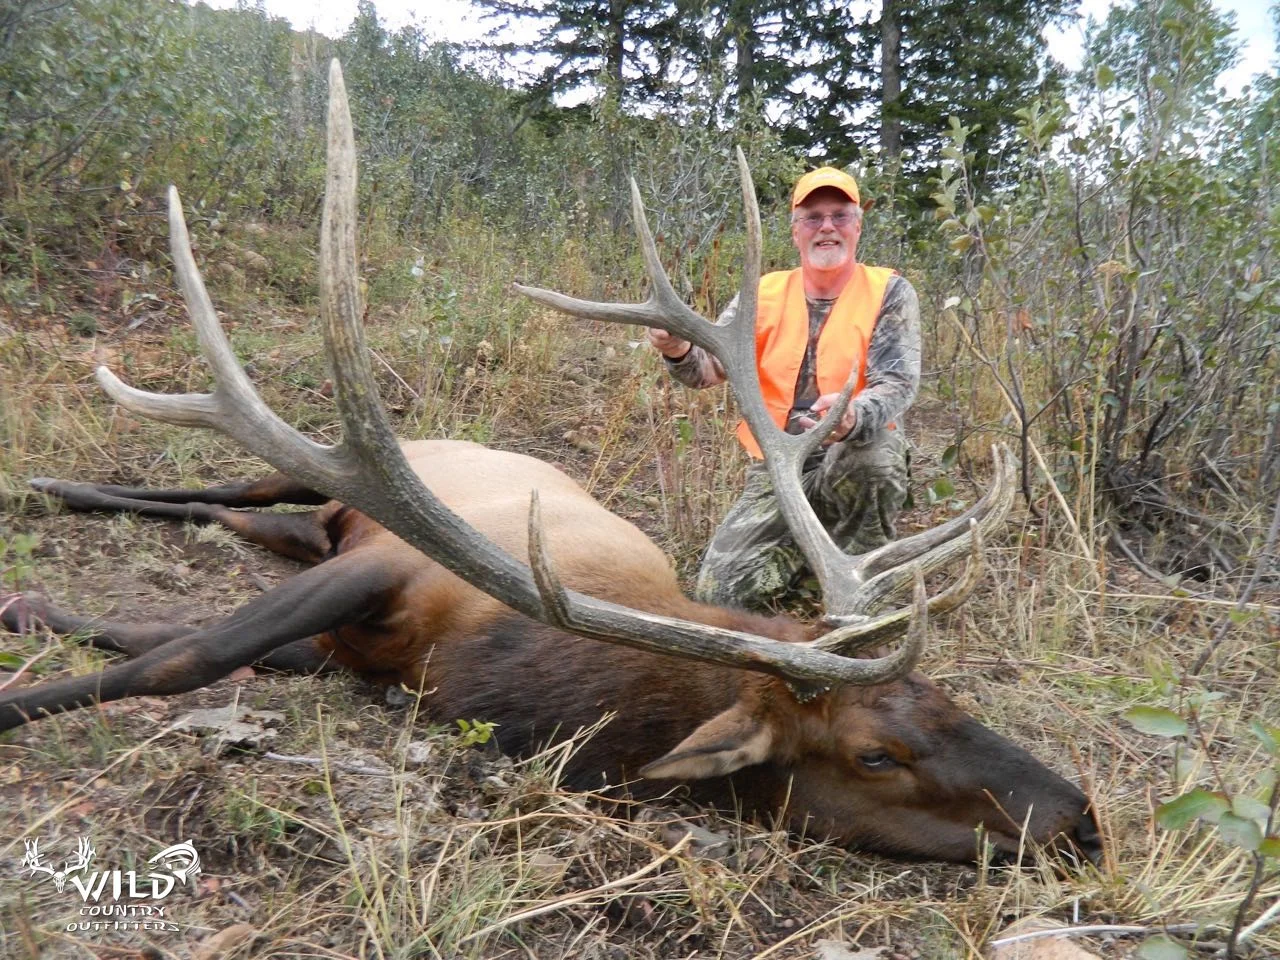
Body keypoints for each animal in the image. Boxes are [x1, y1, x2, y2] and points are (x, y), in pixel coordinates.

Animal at [0, 61, 1100, 865]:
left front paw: (35, 613)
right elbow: (184, 653)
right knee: (226, 483)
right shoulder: (385, 566)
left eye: (953, 700)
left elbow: (161, 636)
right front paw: (20, 687)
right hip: (331, 479)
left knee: (233, 514)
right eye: (877, 753)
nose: (1080, 816)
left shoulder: (364, 647)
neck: (507, 669)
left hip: (309, 524)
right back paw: (50, 486)